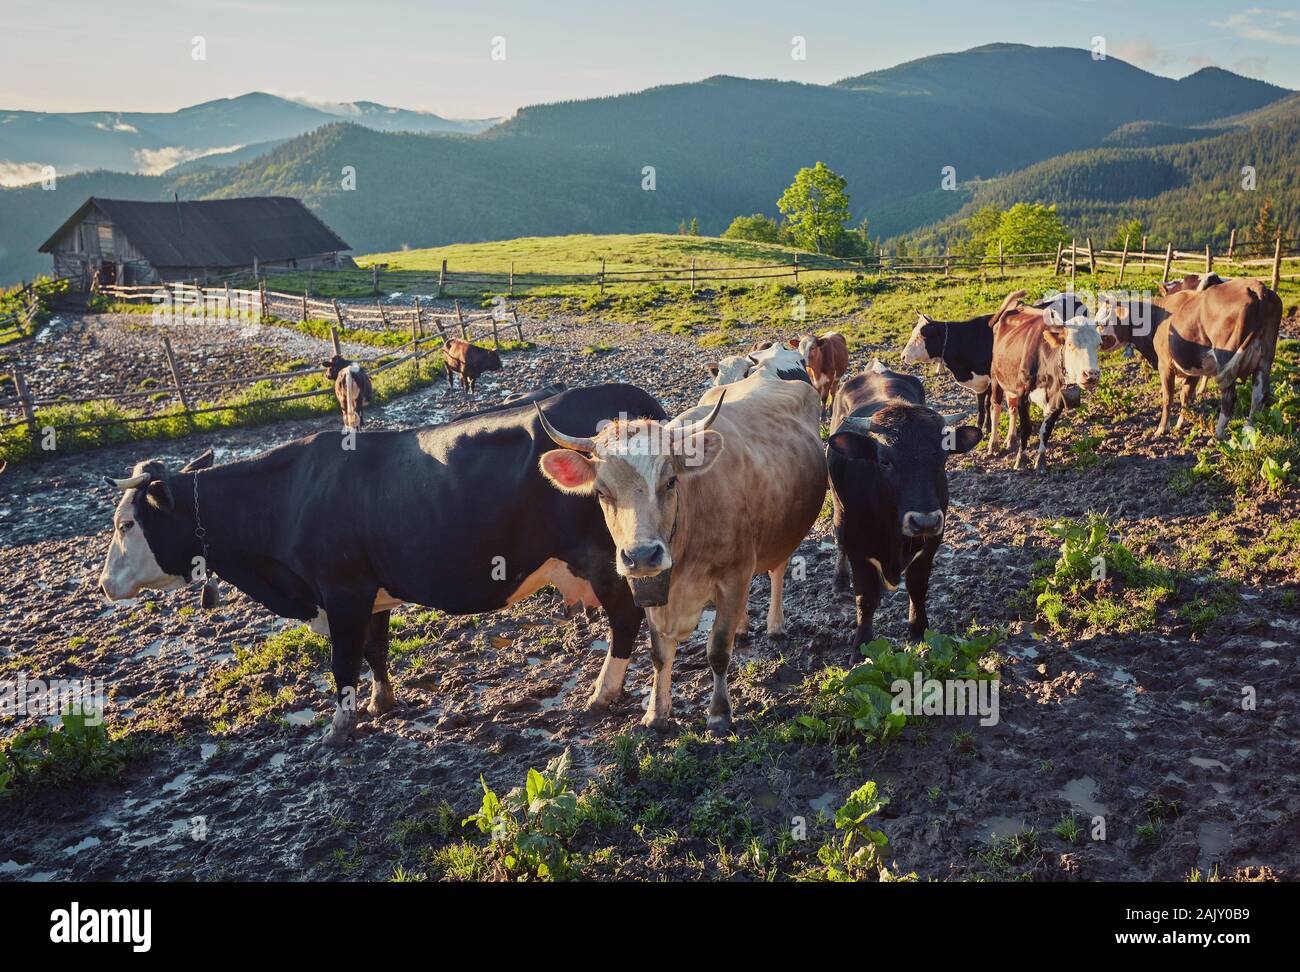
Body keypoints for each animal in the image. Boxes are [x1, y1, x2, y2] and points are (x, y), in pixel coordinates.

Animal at [98, 383, 668, 746]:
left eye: (125, 523)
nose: (103, 584)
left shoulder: (342, 592)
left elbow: (343, 661)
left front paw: (338, 728)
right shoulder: (369, 593)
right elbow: (375, 651)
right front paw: (381, 703)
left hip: (614, 560)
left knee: (626, 621)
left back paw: (602, 693)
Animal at [535, 355, 826, 734]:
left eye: (671, 481)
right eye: (601, 492)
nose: (642, 555)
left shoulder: (733, 575)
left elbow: (718, 649)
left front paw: (719, 713)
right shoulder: (649, 589)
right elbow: (659, 654)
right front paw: (656, 712)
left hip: (782, 534)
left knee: (776, 570)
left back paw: (775, 625)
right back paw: (744, 625)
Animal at [828, 361, 982, 652]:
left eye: (943, 458)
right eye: (885, 461)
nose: (924, 521)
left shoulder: (931, 542)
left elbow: (917, 587)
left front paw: (918, 630)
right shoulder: (857, 548)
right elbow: (866, 597)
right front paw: (861, 645)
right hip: (839, 510)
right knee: (837, 534)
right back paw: (839, 580)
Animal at [987, 295, 1101, 471]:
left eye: (1099, 344)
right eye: (1070, 344)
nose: (1091, 374)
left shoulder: (1057, 399)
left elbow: (1045, 431)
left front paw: (1040, 460)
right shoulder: (1023, 393)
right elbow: (1026, 428)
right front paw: (1021, 460)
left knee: (1011, 407)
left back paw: (1011, 439)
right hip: (995, 376)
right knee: (996, 407)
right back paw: (993, 443)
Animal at [1097, 276, 1281, 438]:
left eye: (1102, 322)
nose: (1096, 341)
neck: (1158, 317)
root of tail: (1257, 288)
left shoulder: (1165, 365)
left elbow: (1168, 398)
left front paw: (1162, 429)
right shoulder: (1193, 367)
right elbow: (1184, 397)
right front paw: (1180, 424)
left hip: (1226, 358)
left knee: (1229, 397)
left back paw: (1218, 435)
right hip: (1265, 361)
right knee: (1258, 397)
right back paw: (1248, 432)